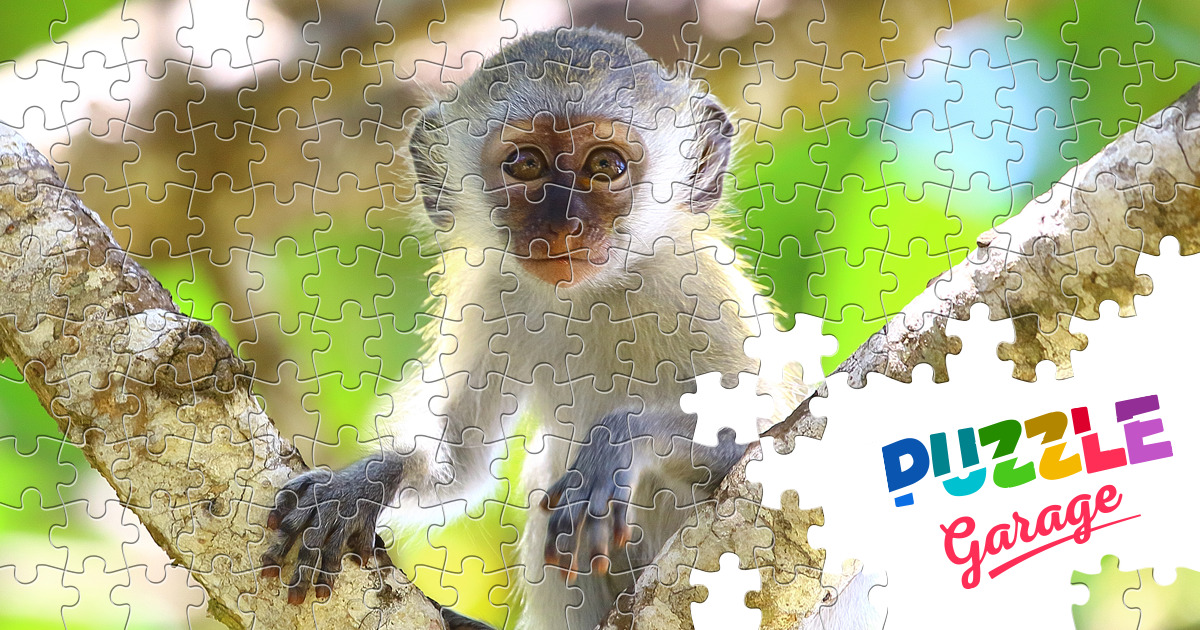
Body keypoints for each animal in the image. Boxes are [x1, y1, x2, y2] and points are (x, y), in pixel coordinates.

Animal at [261, 27, 790, 630]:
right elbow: (458, 461)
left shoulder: (697, 289)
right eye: (526, 165)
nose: (563, 225)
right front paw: (363, 481)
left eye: (606, 166)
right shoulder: (495, 297)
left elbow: (767, 451)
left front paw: (618, 440)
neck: (591, 297)